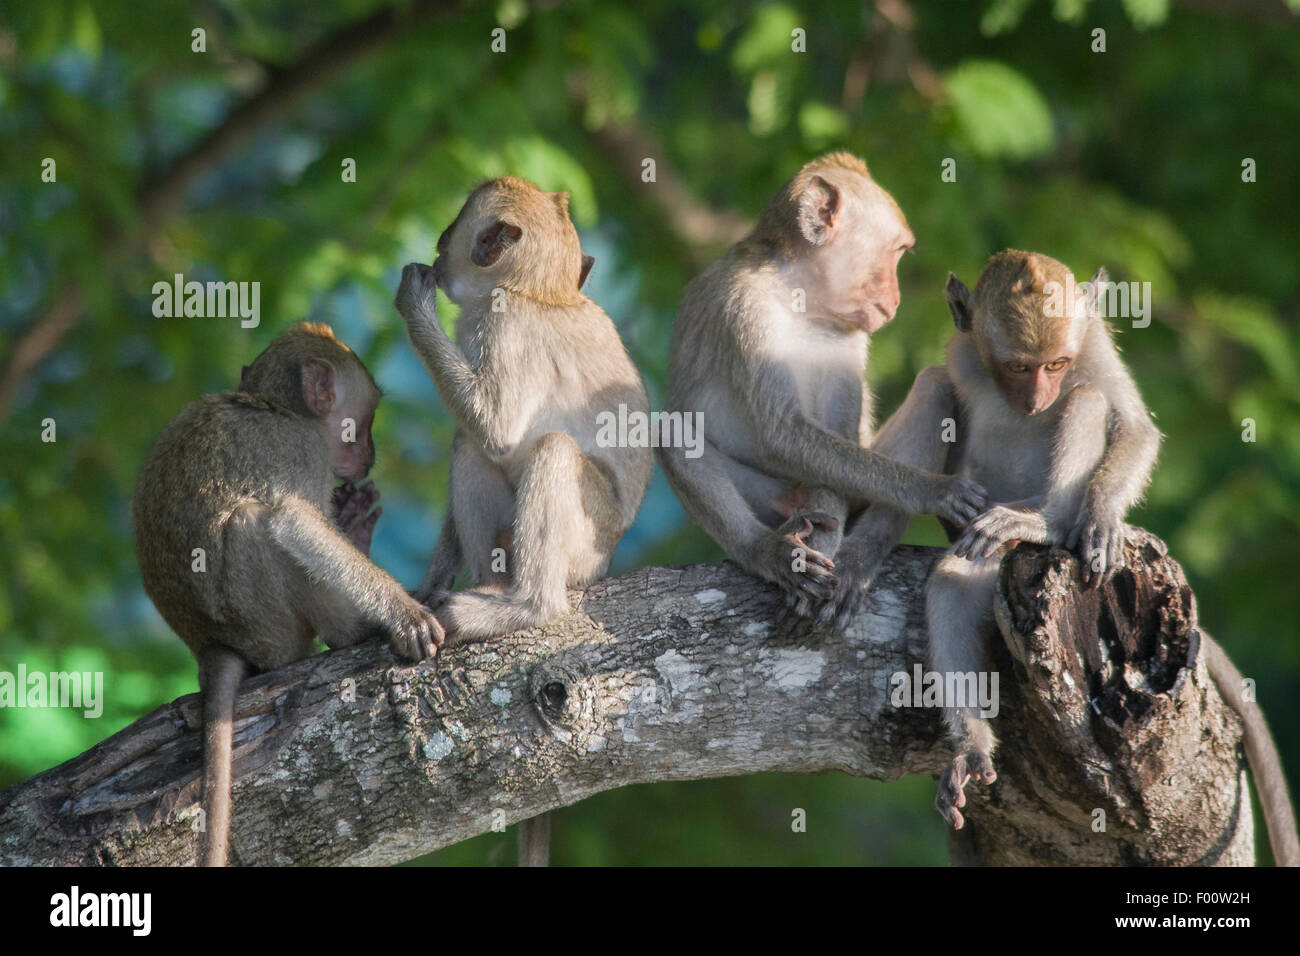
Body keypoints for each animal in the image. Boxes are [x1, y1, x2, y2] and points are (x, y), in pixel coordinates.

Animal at [132, 322, 443, 866]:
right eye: (363, 424)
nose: (370, 455)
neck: (277, 406)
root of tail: (210, 645)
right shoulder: (302, 451)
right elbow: (294, 523)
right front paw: (402, 612)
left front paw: (355, 519)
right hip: (265, 626)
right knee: (256, 523)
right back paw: (351, 631)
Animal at [393, 177, 652, 865]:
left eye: (450, 233)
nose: (437, 249)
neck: (544, 292)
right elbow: (483, 439)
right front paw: (427, 586)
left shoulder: (505, 323)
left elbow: (501, 427)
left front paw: (415, 304)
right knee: (471, 448)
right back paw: (489, 583)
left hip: (586, 542)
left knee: (547, 450)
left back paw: (526, 606)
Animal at [658, 152, 988, 632]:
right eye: (895, 252)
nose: (896, 298)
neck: (799, 298)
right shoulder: (746, 307)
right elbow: (782, 435)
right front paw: (934, 490)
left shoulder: (848, 334)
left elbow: (835, 436)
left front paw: (837, 561)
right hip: (770, 500)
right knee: (672, 431)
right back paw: (766, 550)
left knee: (933, 388)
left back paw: (856, 561)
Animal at [915, 250, 1298, 867]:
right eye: (1018, 367)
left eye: (1056, 363)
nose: (1037, 398)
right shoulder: (962, 350)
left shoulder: (1092, 347)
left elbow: (1134, 427)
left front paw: (1103, 518)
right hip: (994, 558)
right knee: (954, 579)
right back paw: (971, 746)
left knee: (1089, 402)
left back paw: (1050, 520)